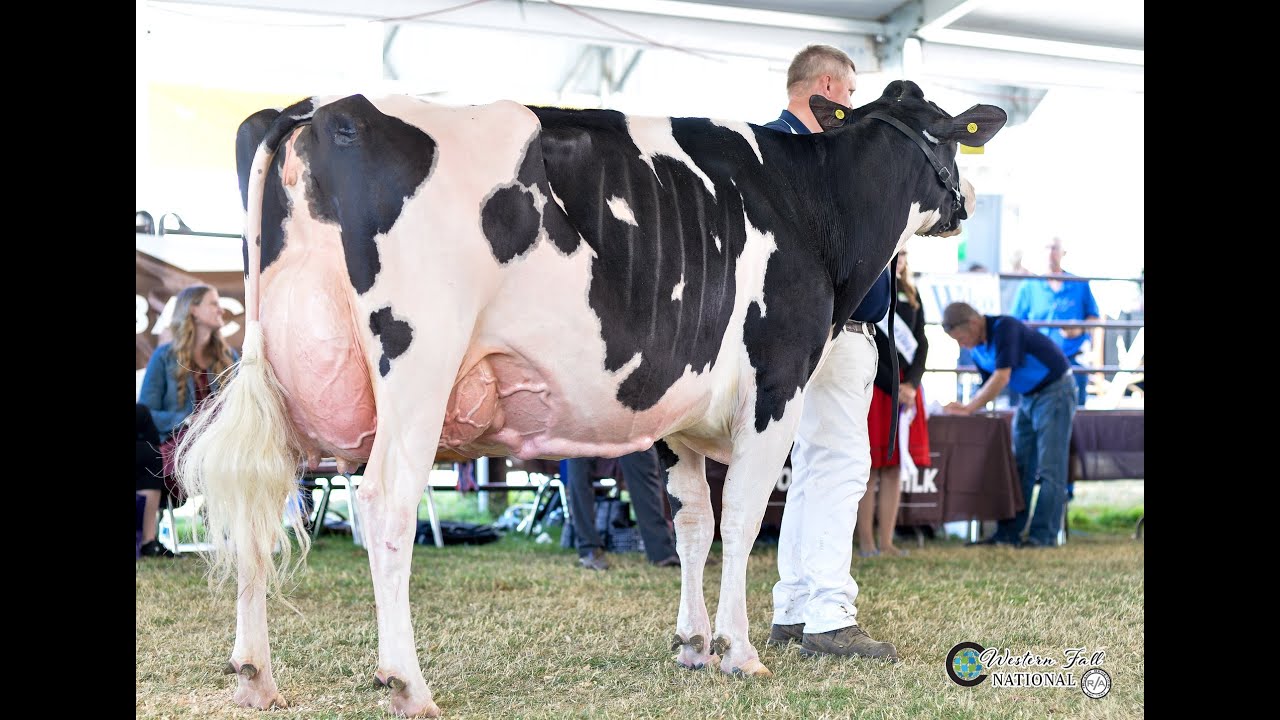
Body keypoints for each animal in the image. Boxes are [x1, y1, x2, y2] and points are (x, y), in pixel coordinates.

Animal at [177, 80, 1006, 716]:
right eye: (950, 138)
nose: (967, 203)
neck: (813, 202)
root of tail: (315, 108)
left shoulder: (678, 413)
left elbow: (693, 524)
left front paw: (692, 644)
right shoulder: (777, 384)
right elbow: (741, 520)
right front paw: (737, 649)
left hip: (277, 370)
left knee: (258, 496)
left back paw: (256, 675)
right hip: (416, 363)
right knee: (386, 503)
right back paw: (406, 681)